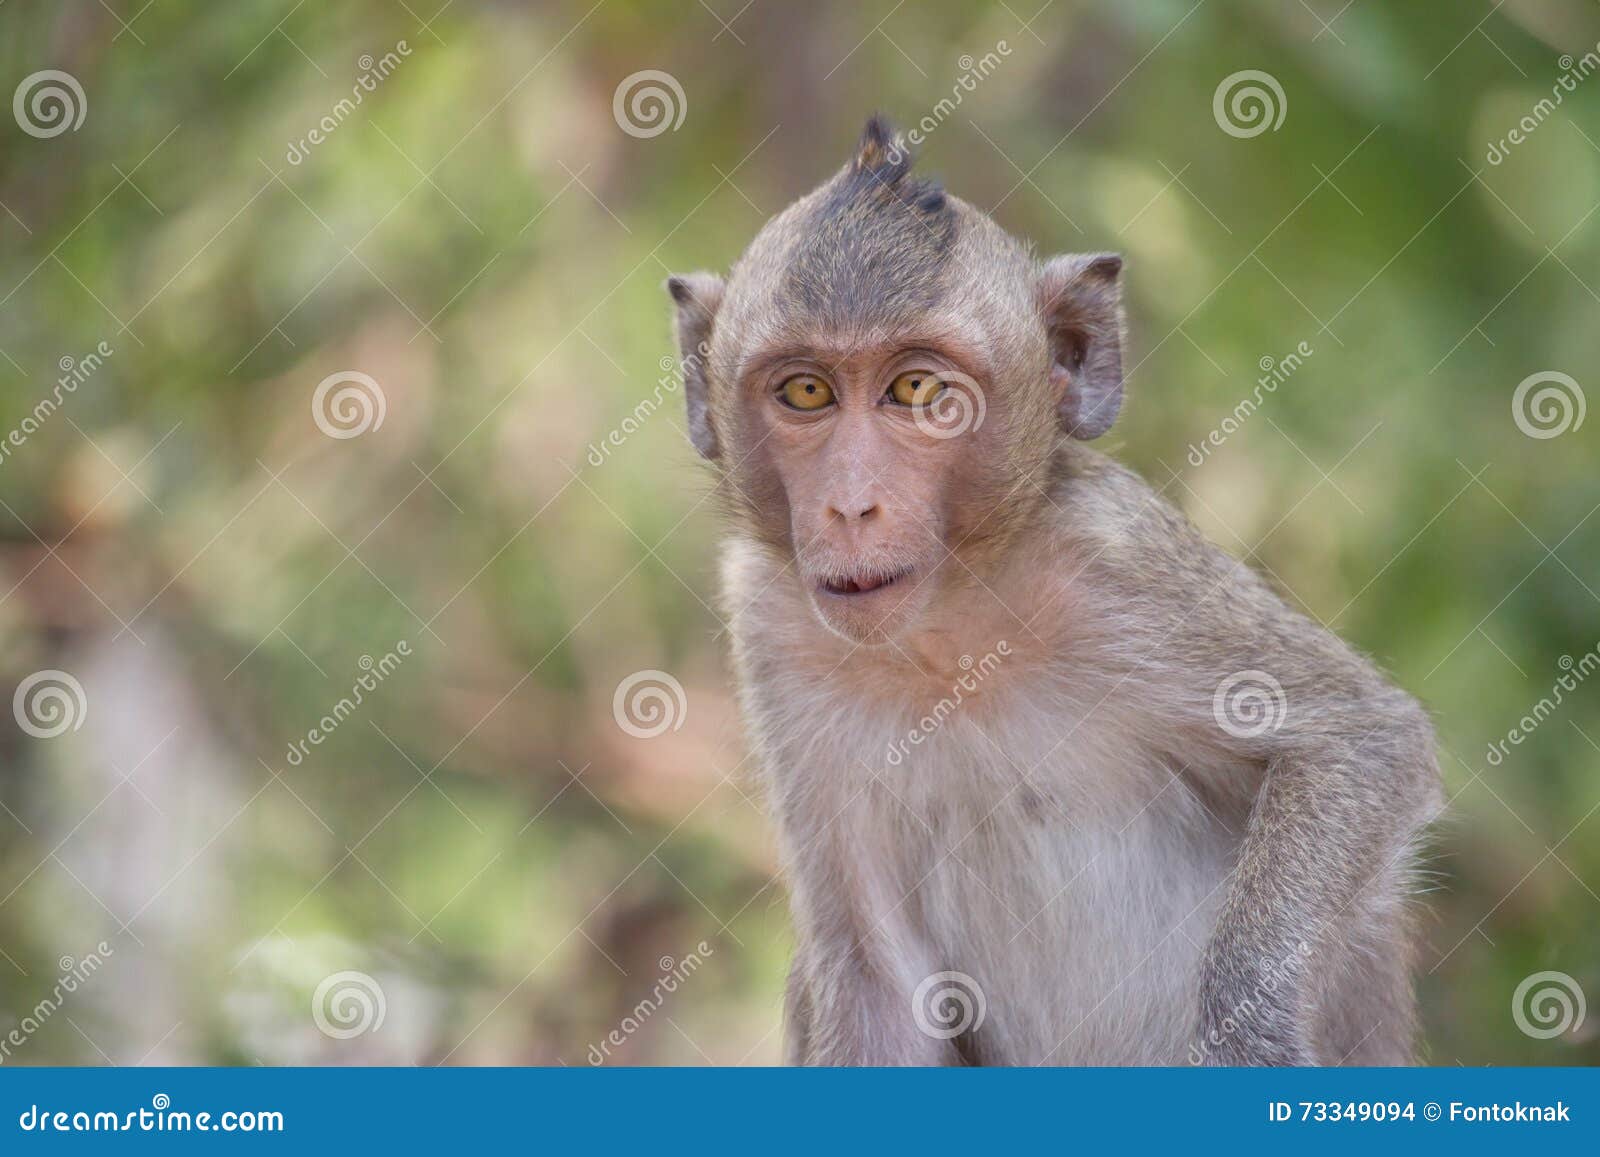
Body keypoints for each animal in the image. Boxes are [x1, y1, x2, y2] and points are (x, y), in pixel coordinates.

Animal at [664, 116, 1442, 1066]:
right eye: (806, 391)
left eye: (917, 390)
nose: (850, 504)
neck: (950, 632)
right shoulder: (771, 619)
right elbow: (876, 986)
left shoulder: (1117, 561)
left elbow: (1358, 741)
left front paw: (1246, 1032)